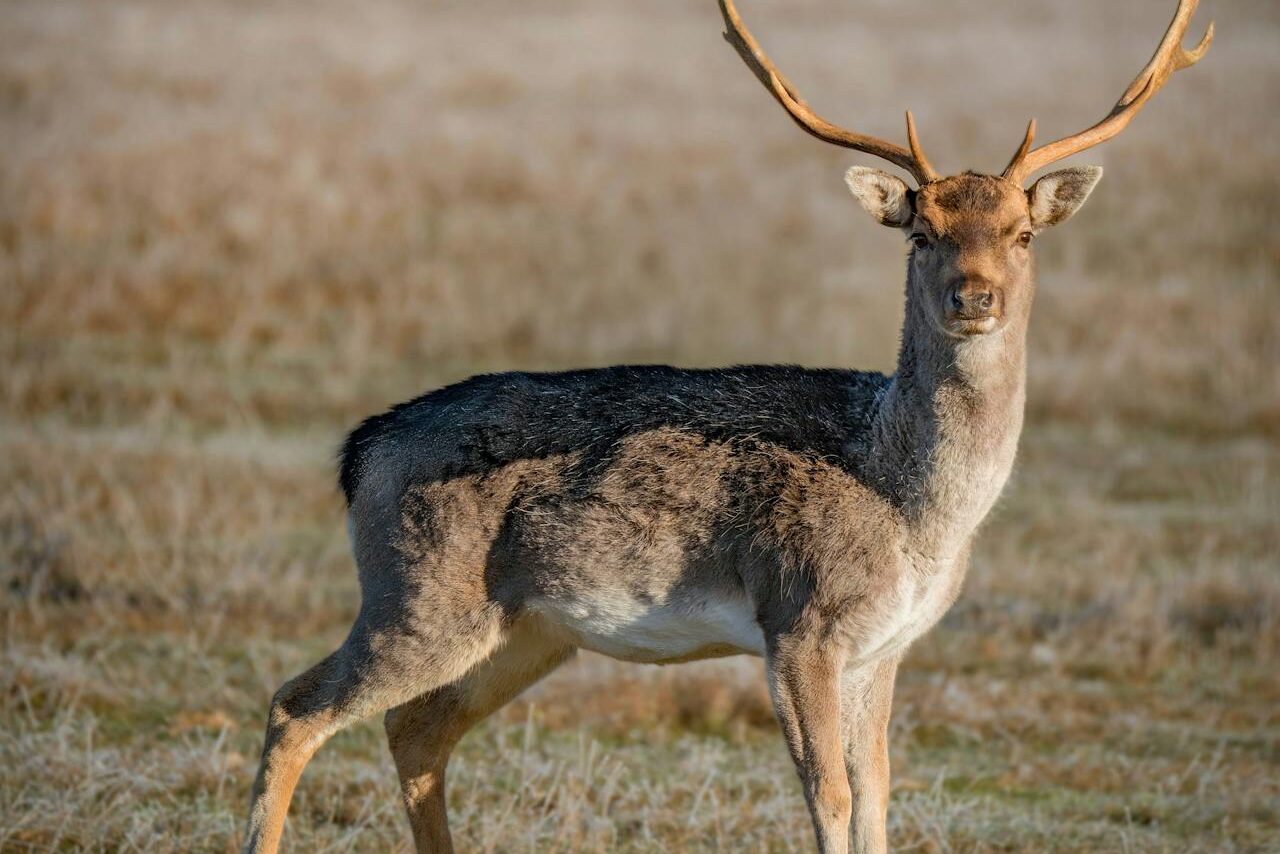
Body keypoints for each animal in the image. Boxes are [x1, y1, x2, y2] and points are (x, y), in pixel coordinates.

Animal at [242, 1, 1213, 851]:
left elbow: (878, 796)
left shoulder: (885, 648)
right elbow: (830, 795)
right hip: (419, 598)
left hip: (527, 630)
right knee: (296, 706)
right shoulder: (800, 621)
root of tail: (361, 448)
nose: (973, 297)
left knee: (417, 730)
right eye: (922, 232)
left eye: (1022, 234)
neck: (910, 504)